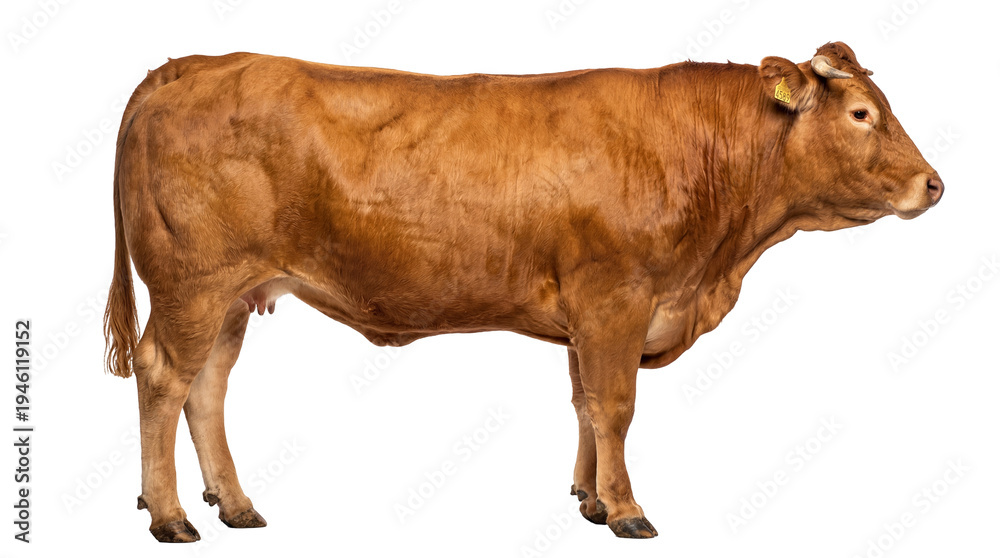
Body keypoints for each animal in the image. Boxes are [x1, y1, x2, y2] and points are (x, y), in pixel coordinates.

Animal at [104, 41, 942, 542]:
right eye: (862, 114)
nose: (933, 184)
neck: (718, 260)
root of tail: (197, 63)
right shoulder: (615, 297)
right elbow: (615, 405)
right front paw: (628, 510)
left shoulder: (587, 315)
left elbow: (584, 404)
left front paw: (591, 499)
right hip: (191, 284)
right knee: (164, 378)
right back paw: (171, 516)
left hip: (231, 296)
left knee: (207, 387)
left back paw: (234, 504)